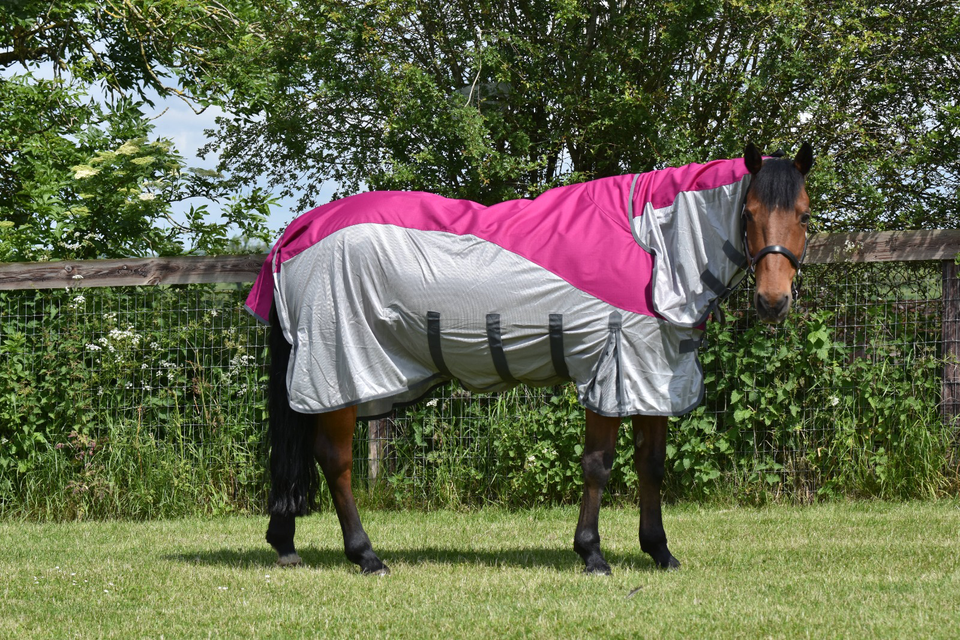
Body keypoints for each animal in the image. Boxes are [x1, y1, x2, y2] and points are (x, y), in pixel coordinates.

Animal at [245, 142, 814, 575]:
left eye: (804, 215)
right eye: (748, 214)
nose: (773, 301)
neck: (652, 247)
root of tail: (298, 232)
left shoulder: (652, 372)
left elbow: (650, 465)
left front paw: (659, 551)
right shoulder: (610, 366)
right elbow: (598, 465)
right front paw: (592, 554)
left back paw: (287, 544)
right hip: (339, 366)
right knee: (335, 460)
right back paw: (365, 555)